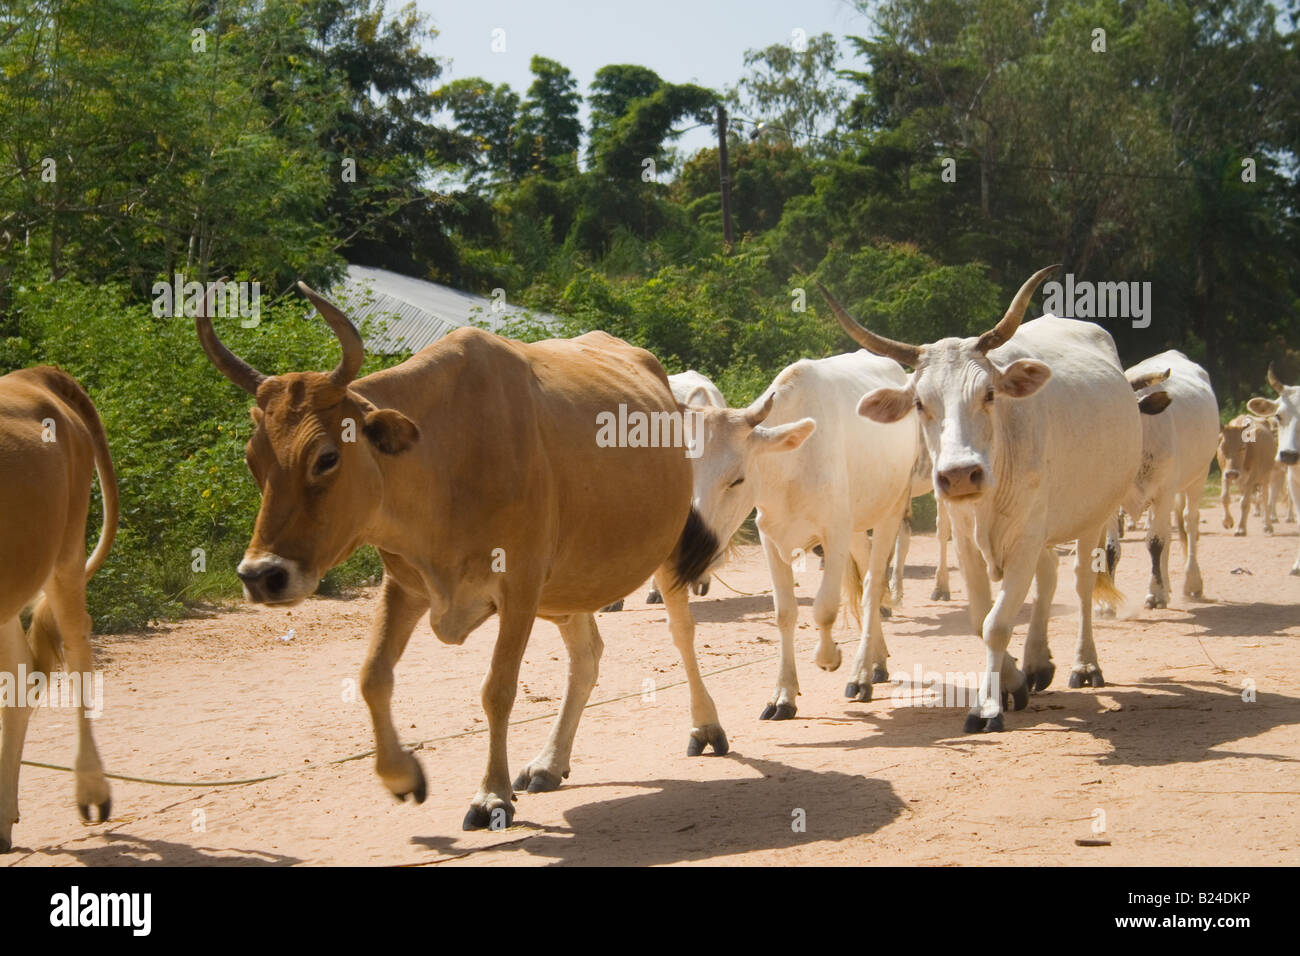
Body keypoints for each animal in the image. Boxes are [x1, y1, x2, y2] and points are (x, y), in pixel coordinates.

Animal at [195, 284, 725, 831]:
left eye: (326, 457)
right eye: (253, 459)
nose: (262, 575)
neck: (444, 460)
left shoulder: (520, 587)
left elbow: (498, 690)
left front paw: (490, 795)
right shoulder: (405, 584)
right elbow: (372, 677)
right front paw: (401, 775)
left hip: (664, 549)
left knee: (681, 633)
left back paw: (705, 727)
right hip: (569, 582)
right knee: (587, 656)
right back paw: (549, 762)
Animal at [683, 351, 917, 720]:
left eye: (736, 479)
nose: (694, 547)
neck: (791, 466)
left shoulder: (834, 533)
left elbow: (825, 608)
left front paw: (829, 657)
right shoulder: (771, 539)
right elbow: (785, 613)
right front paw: (783, 695)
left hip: (890, 510)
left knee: (873, 586)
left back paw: (861, 675)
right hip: (855, 524)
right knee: (867, 576)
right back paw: (877, 662)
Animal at [820, 266, 1169, 732]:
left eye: (989, 394)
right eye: (919, 403)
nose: (959, 474)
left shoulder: (1027, 534)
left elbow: (998, 624)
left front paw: (987, 706)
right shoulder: (968, 540)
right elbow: (980, 616)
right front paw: (1013, 681)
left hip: (1093, 516)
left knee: (1080, 583)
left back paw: (1085, 664)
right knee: (1049, 574)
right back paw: (1038, 662)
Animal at [1120, 352, 1220, 608]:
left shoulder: (1165, 491)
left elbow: (1155, 542)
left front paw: (1155, 593)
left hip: (1197, 477)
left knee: (1190, 523)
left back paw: (1192, 582)